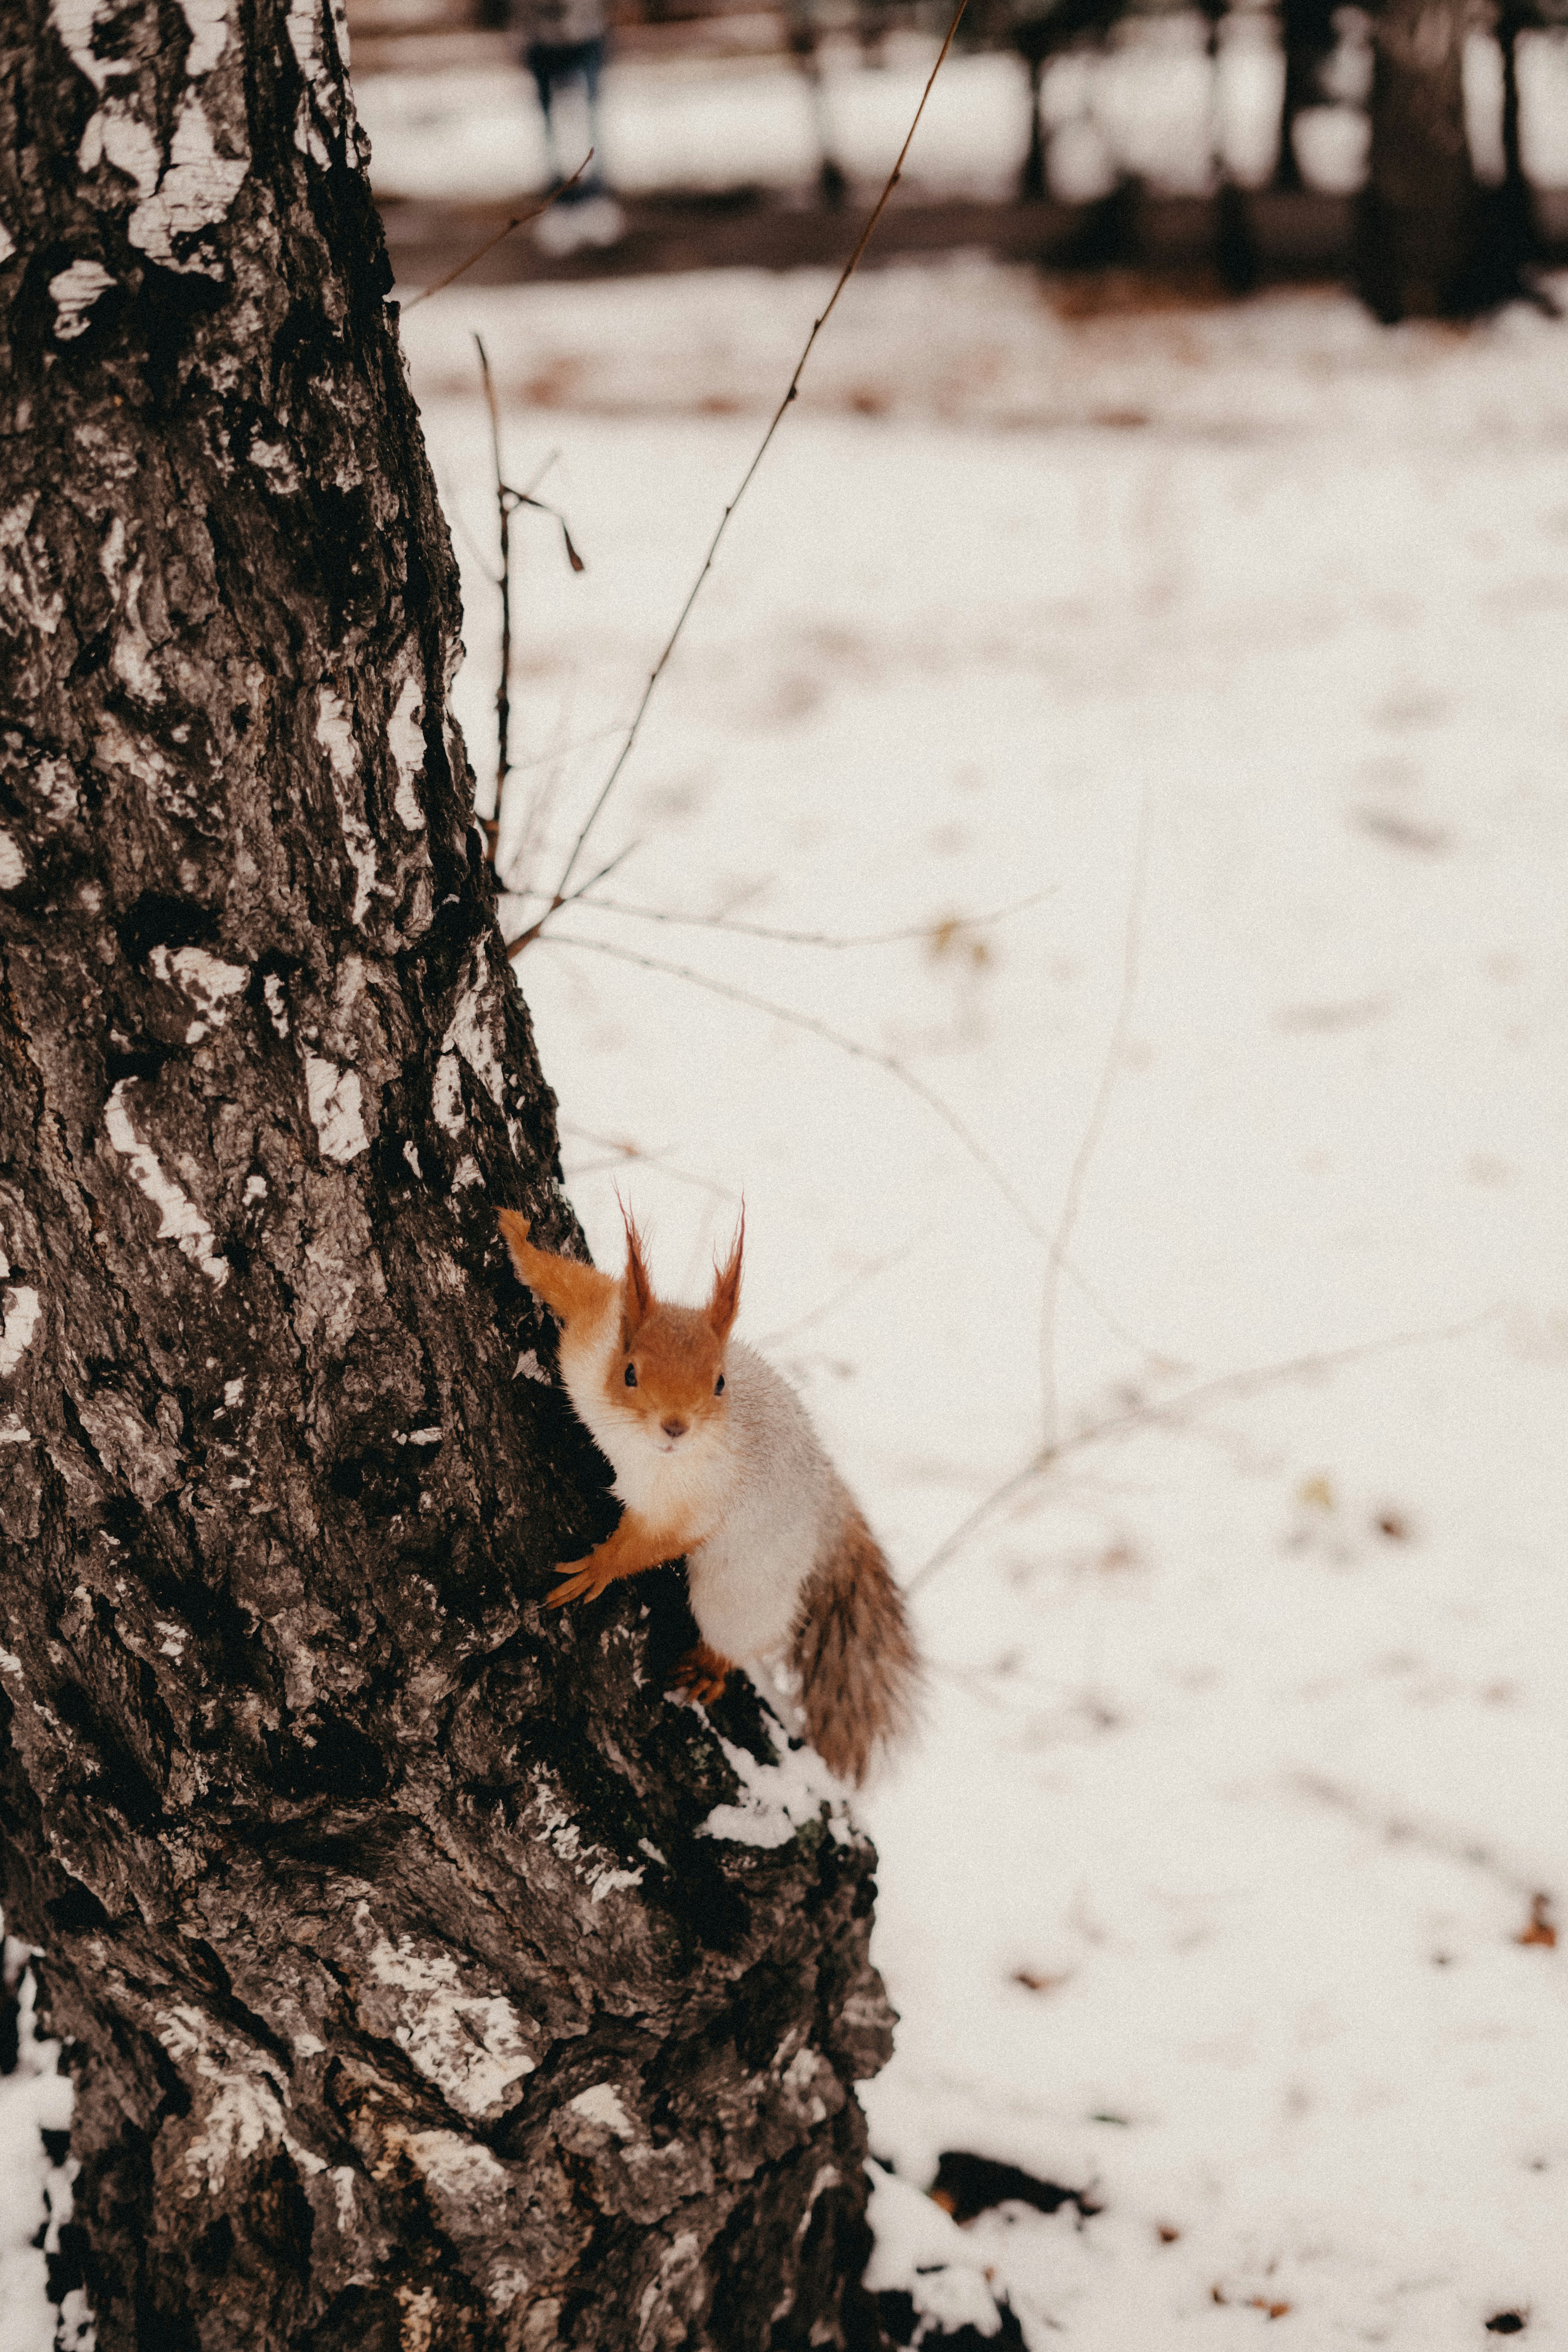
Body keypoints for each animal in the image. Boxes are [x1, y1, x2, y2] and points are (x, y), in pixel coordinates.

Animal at [497, 1205, 921, 1786]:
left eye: (720, 1383)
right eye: (630, 1372)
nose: (676, 1427)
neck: (639, 1446)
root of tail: (822, 1515)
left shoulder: (693, 1503)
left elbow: (655, 1543)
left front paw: (600, 1567)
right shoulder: (594, 1334)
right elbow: (569, 1283)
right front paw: (516, 1235)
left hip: (741, 1591)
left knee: (750, 1633)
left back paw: (714, 1665)